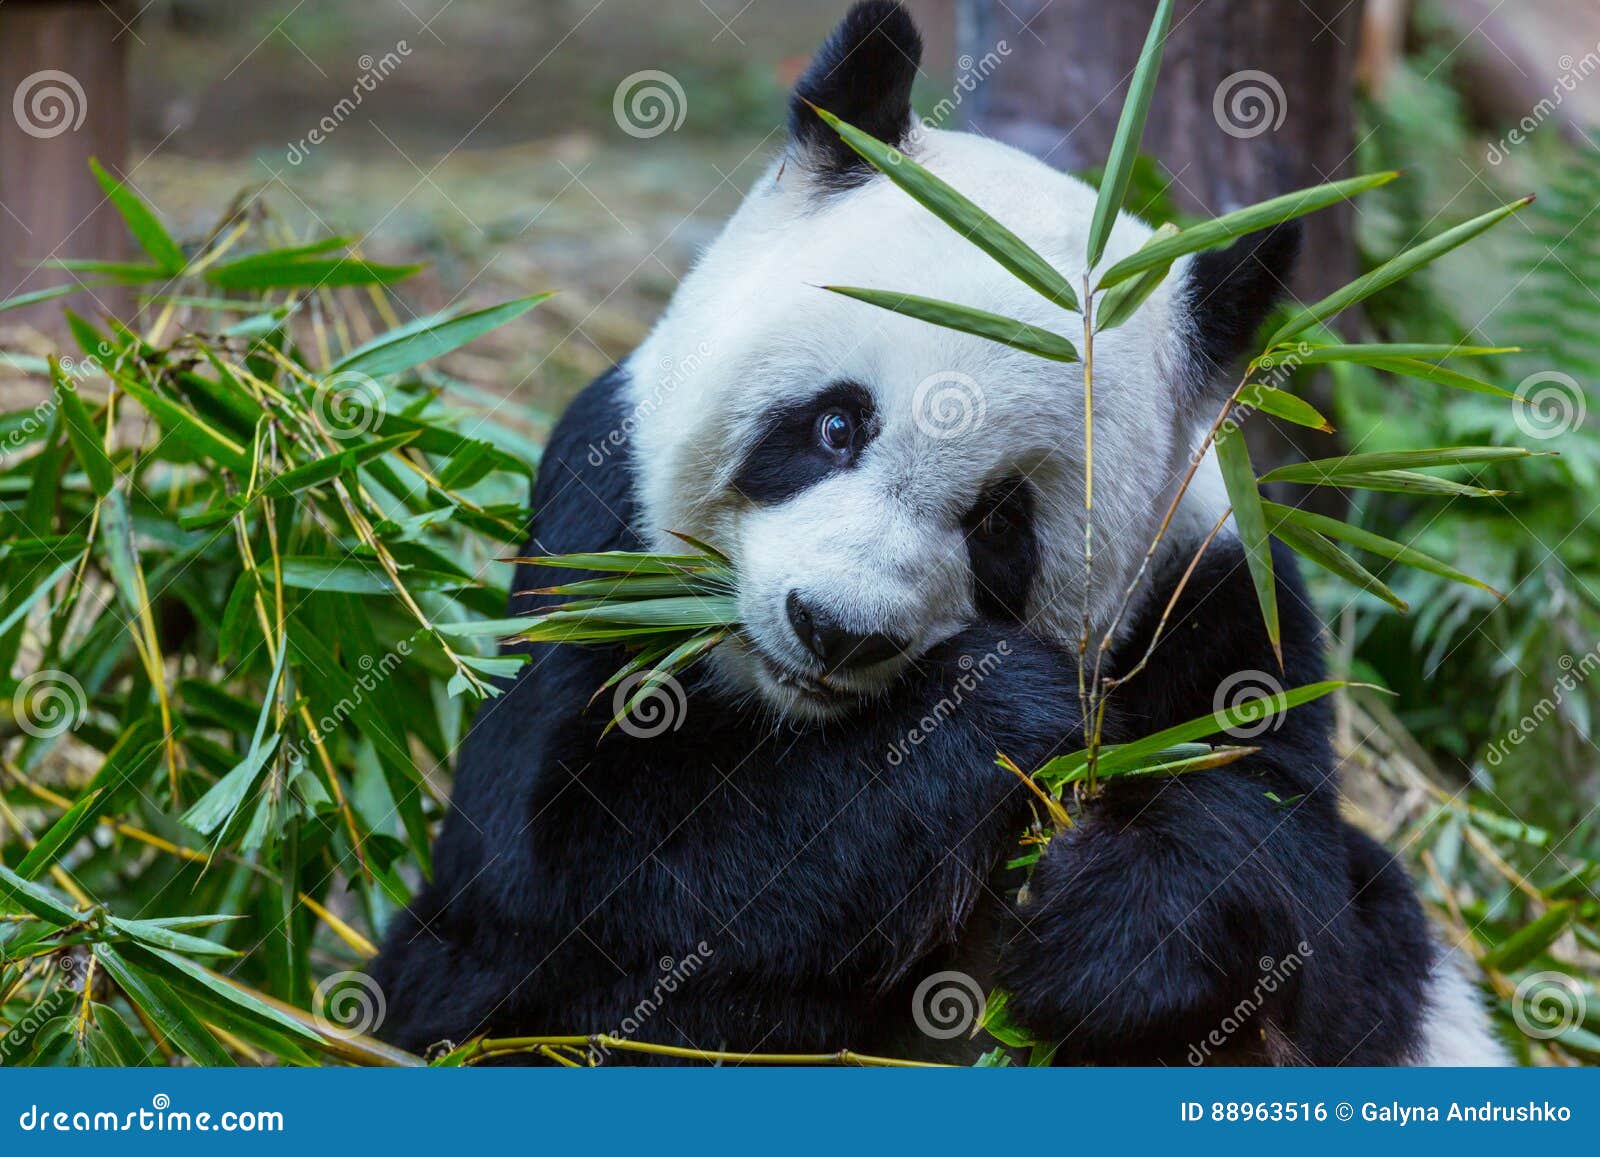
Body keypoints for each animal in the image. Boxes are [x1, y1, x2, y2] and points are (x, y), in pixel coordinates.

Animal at [371, 1, 1505, 1066]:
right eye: (834, 425)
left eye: (1001, 522)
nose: (836, 629)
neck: (808, 723)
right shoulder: (599, 527)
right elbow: (559, 871)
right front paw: (1000, 708)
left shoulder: (1215, 591)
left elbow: (1294, 875)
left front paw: (1115, 927)